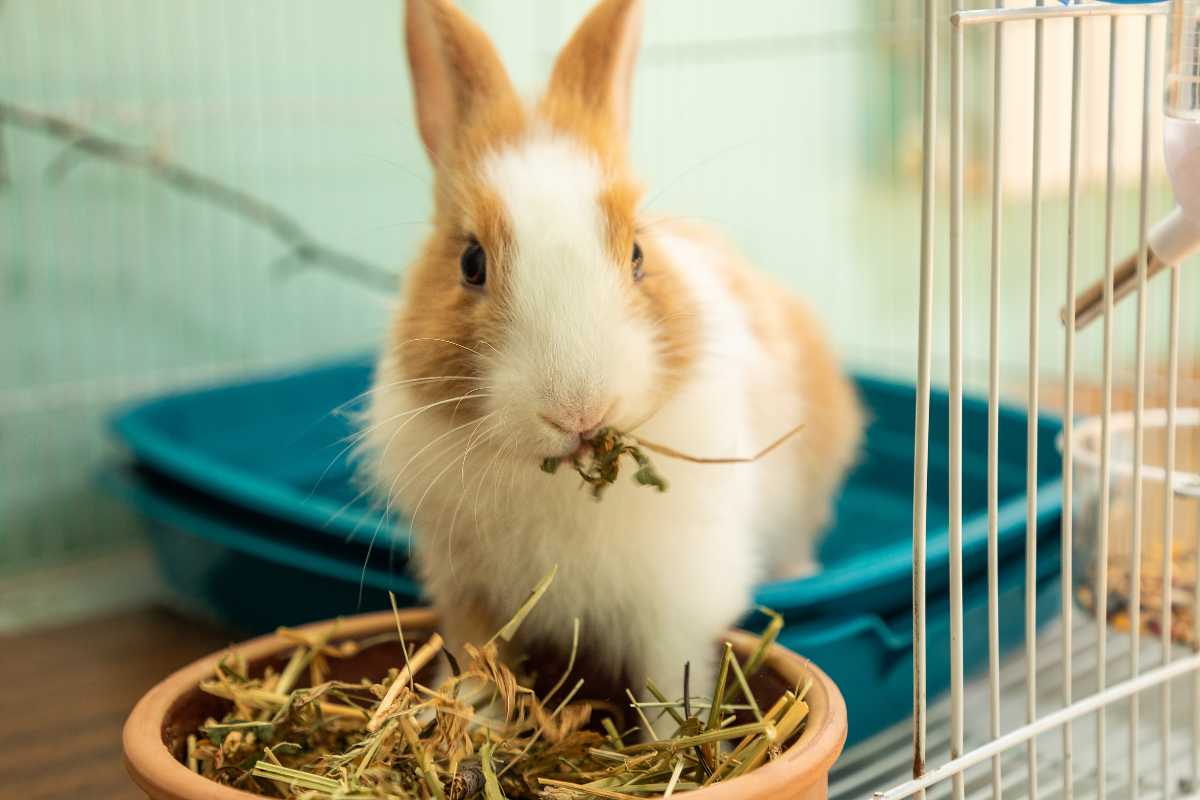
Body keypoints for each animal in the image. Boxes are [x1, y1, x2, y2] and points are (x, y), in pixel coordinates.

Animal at [361, 0, 863, 723]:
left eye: (637, 255)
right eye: (470, 262)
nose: (579, 410)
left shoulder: (675, 603)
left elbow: (669, 688)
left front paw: (675, 738)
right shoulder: (470, 593)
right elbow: (481, 668)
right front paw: (474, 724)